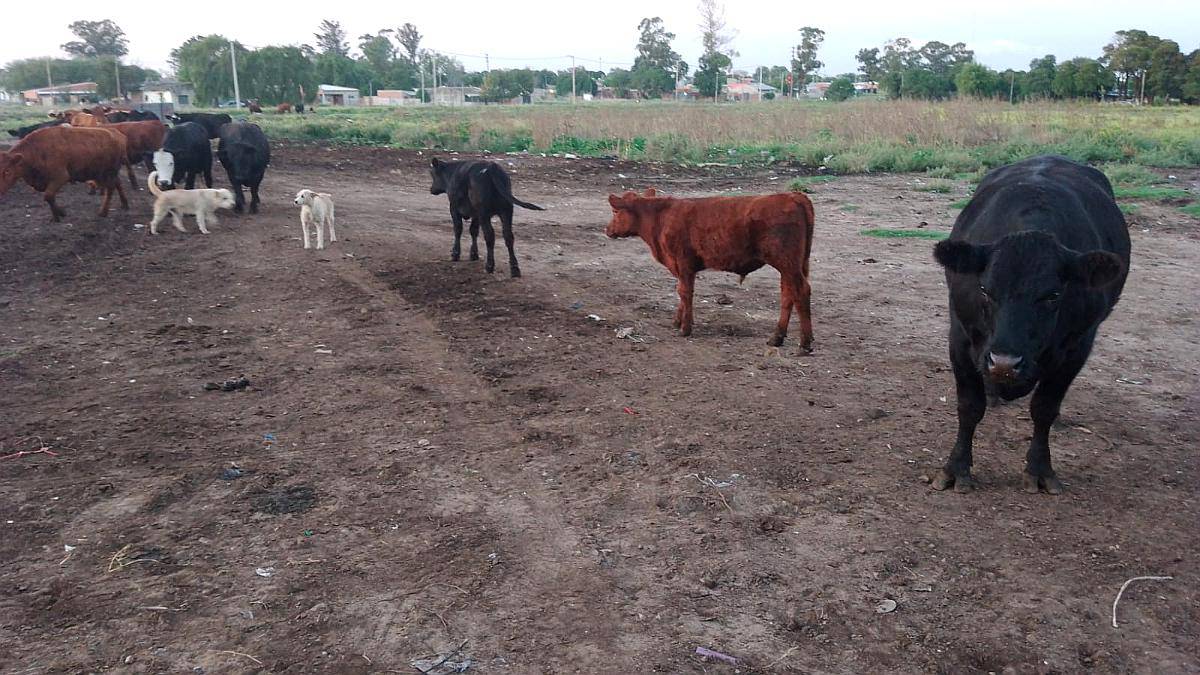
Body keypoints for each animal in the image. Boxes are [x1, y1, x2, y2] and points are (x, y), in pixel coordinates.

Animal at [0, 125, 130, 221]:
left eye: (7, 171)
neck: (36, 150)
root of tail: (117, 135)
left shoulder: (61, 177)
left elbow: (48, 196)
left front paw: (61, 213)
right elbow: (50, 197)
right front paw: (57, 216)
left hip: (109, 172)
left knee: (111, 188)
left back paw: (103, 212)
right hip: (105, 173)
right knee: (118, 184)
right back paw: (124, 204)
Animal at [606, 189, 816, 351]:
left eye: (615, 211)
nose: (607, 230)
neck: (662, 217)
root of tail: (793, 195)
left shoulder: (683, 263)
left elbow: (684, 292)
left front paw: (685, 328)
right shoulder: (685, 268)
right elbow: (682, 292)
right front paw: (677, 321)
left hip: (787, 263)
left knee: (801, 291)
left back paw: (804, 344)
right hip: (794, 265)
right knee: (788, 294)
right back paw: (776, 338)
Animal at [931, 155, 1130, 495]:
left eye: (1053, 296)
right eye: (985, 289)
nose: (1004, 363)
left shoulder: (1078, 346)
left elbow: (1044, 408)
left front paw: (1040, 470)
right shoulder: (959, 337)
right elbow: (969, 406)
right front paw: (956, 469)